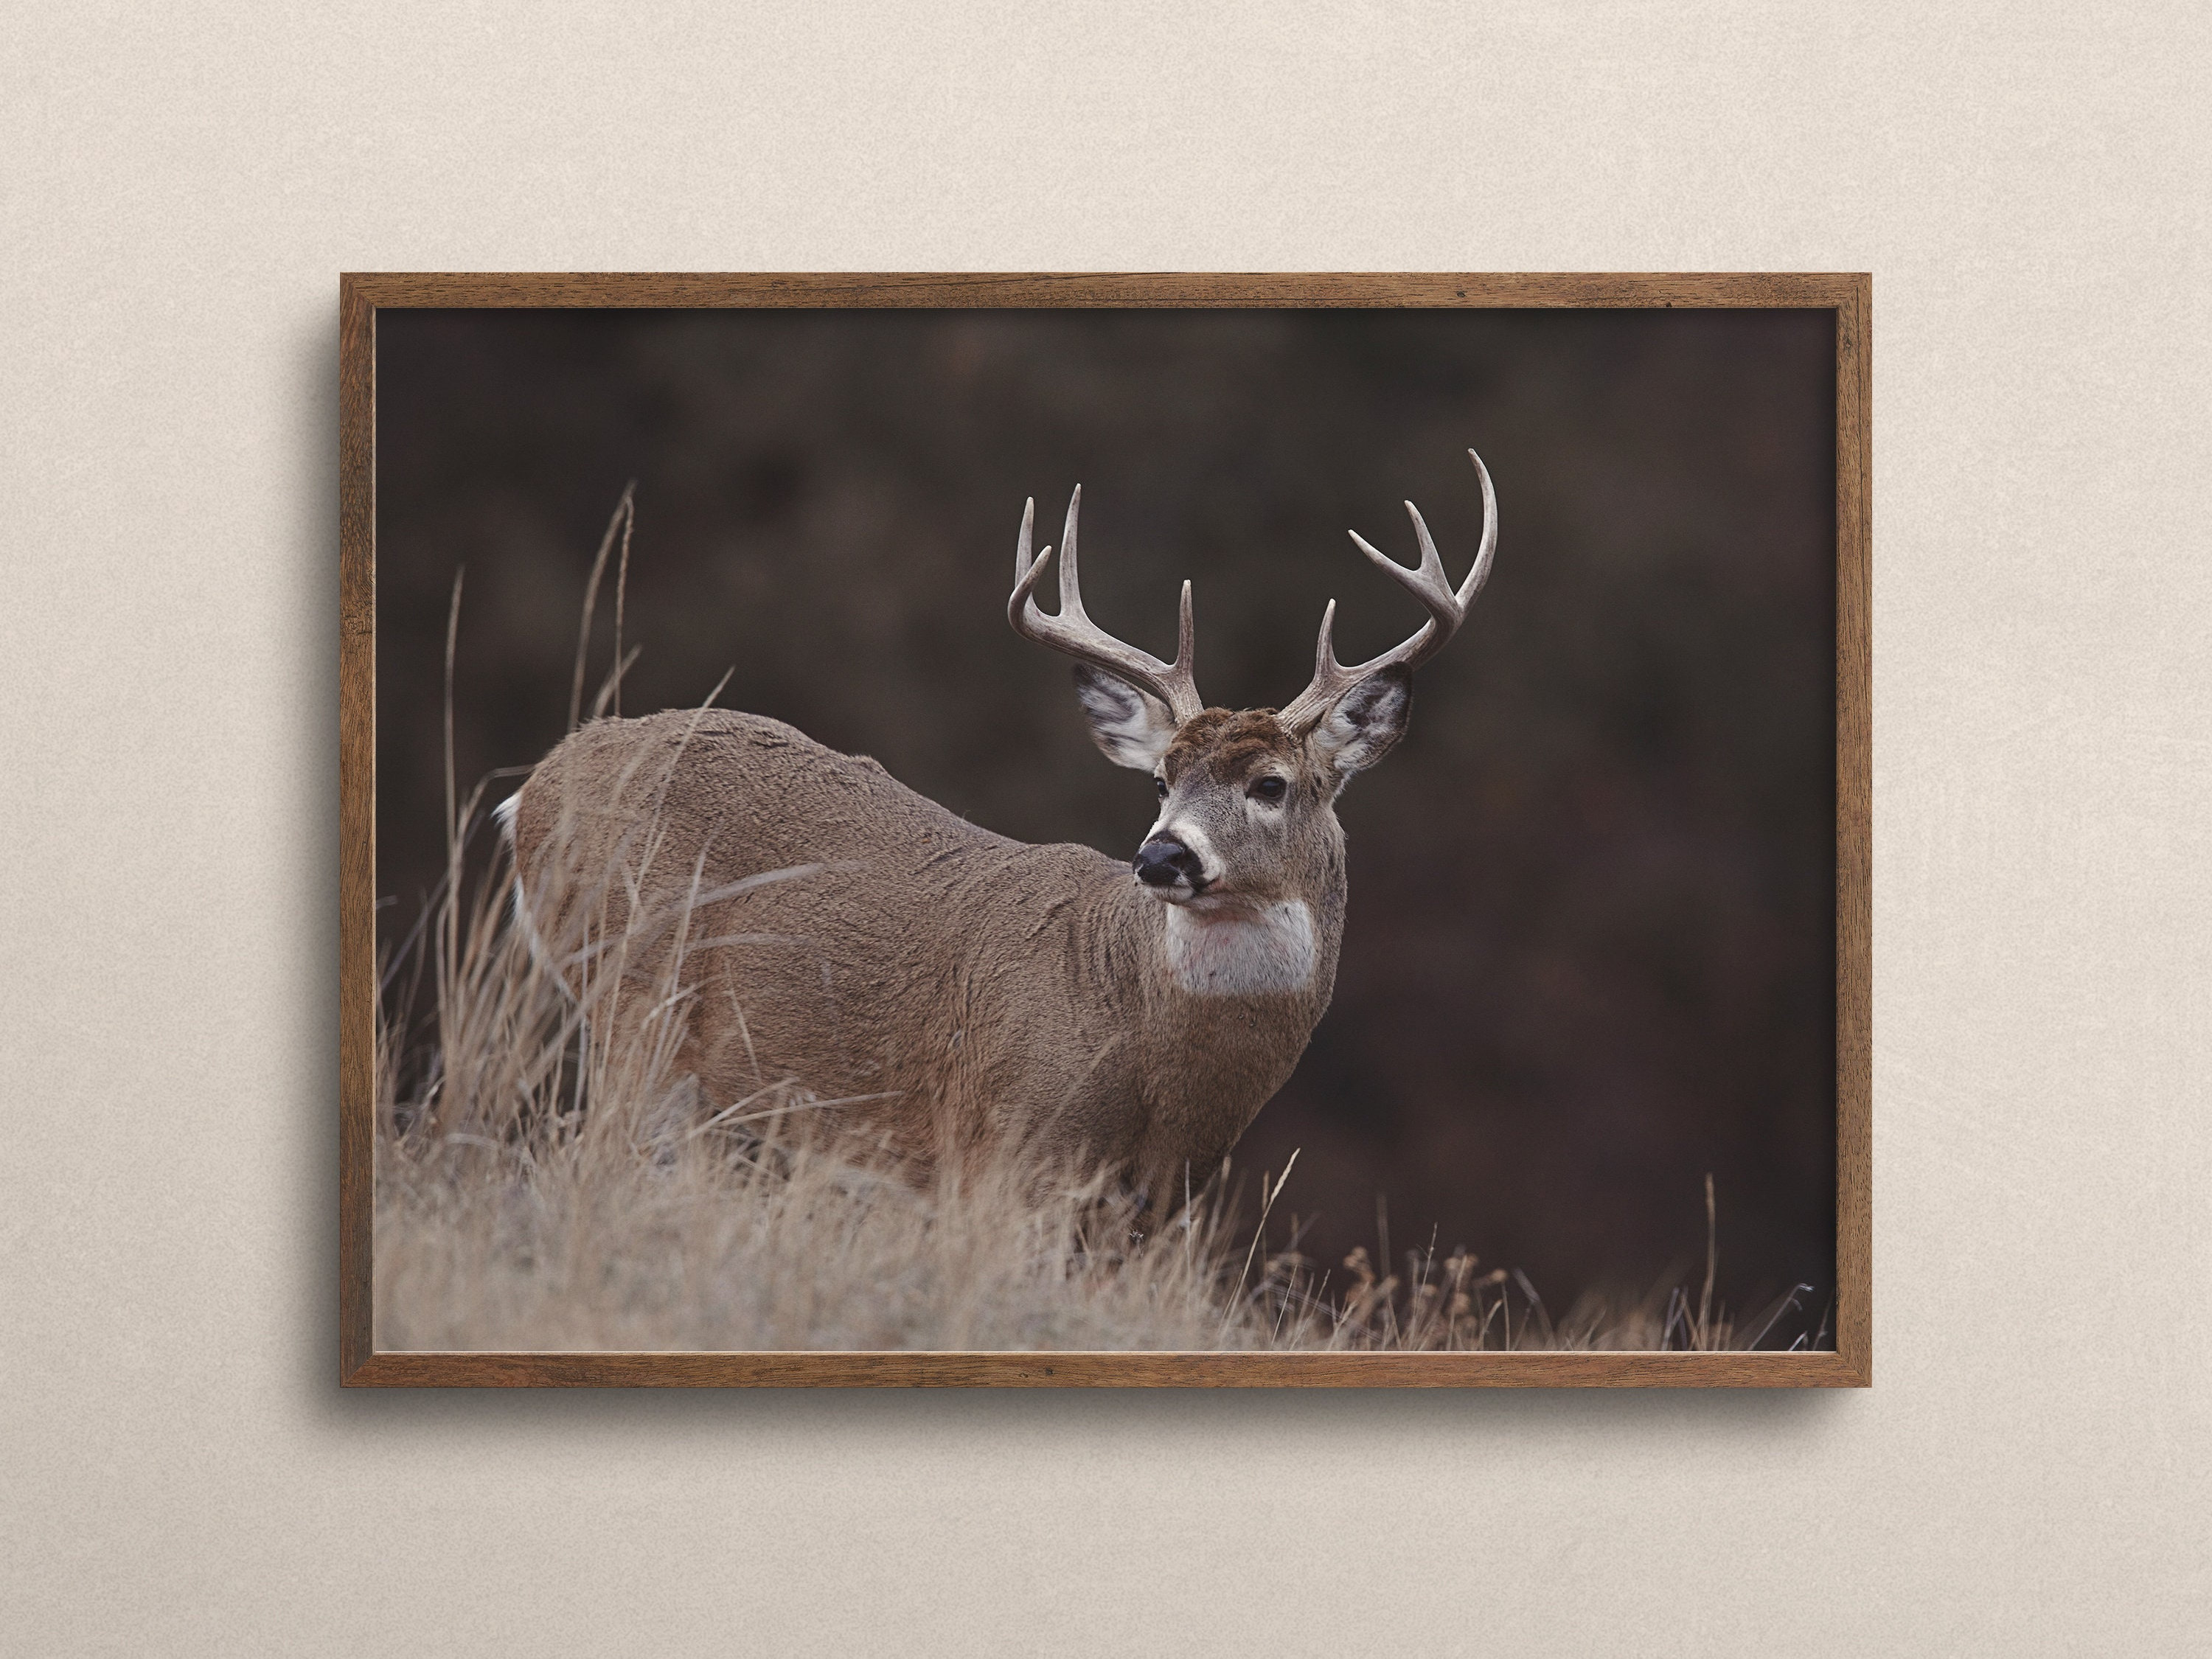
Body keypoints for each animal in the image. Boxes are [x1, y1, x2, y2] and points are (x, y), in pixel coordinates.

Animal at [504, 449, 1496, 1206]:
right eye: (1163, 779)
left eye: (1271, 784)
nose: (1162, 854)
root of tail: (538, 787)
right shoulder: (1004, 1146)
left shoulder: (1151, 1206)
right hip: (636, 1000)